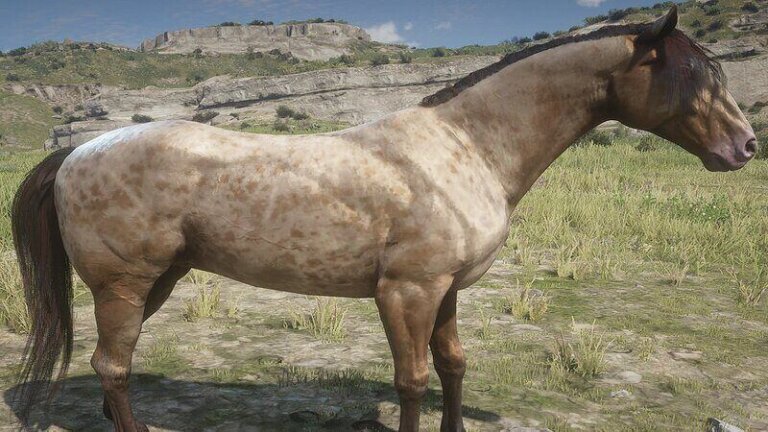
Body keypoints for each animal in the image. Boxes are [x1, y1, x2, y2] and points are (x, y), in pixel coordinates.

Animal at [11, 7, 757, 432]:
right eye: (691, 75)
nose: (745, 146)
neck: (465, 146)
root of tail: (78, 149)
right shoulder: (406, 291)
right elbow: (413, 380)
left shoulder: (446, 290)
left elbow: (453, 365)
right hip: (125, 284)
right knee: (112, 365)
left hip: (158, 280)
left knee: (116, 366)